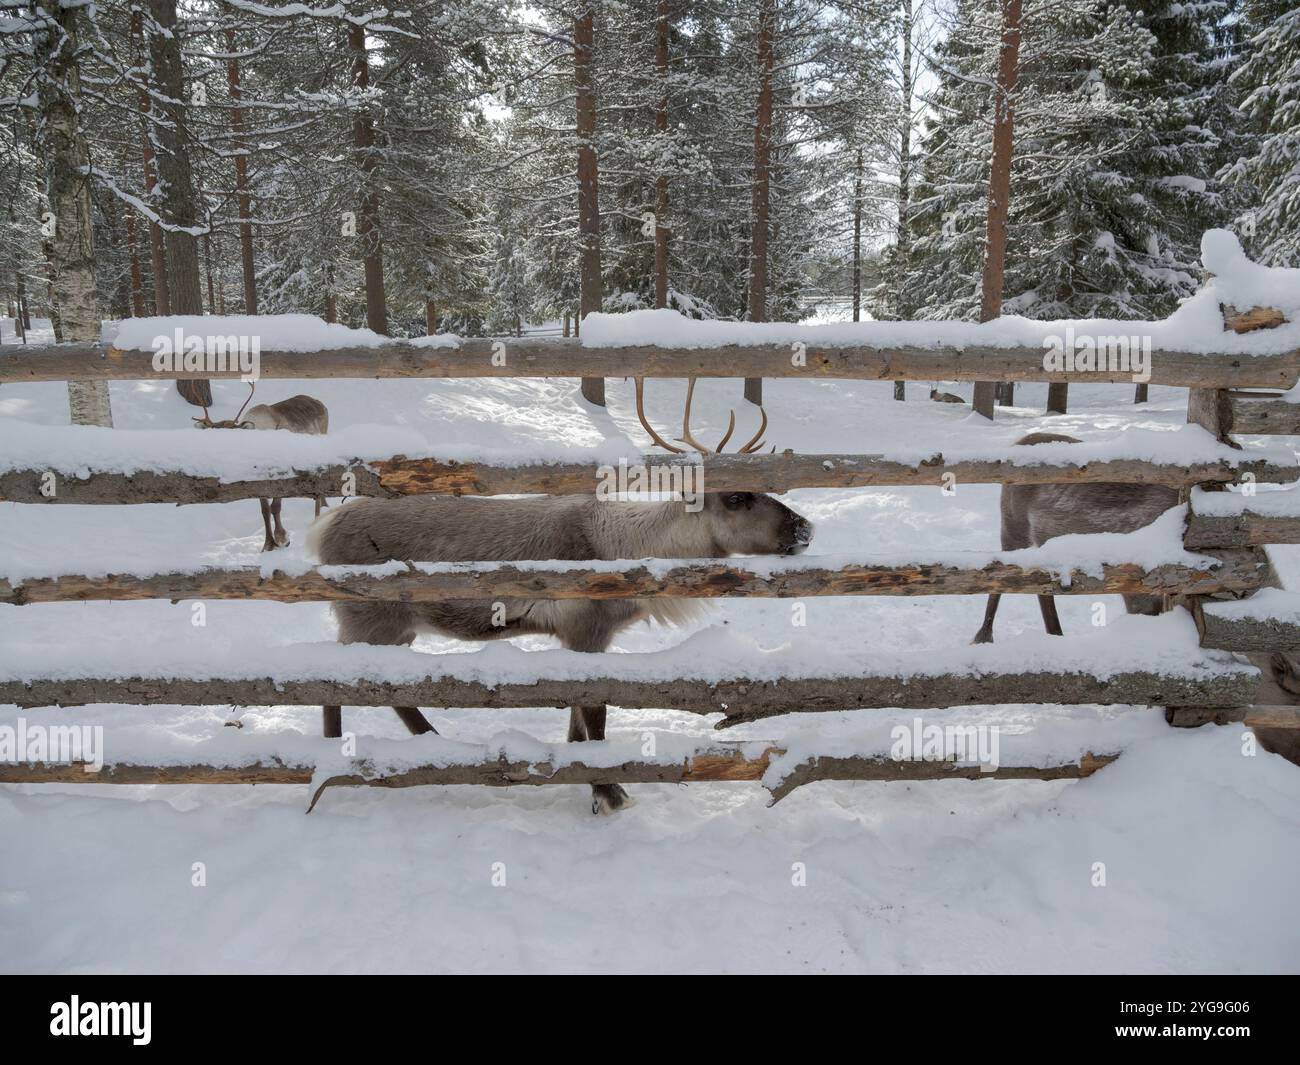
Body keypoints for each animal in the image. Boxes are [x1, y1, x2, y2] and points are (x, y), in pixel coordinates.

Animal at [307, 378, 814, 815]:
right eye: (736, 498)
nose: (805, 528)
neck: (625, 549)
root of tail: (321, 529)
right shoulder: (587, 631)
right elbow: (595, 714)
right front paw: (609, 792)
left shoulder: (578, 639)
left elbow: (574, 717)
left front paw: (583, 778)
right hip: (369, 620)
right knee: (335, 685)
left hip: (394, 629)